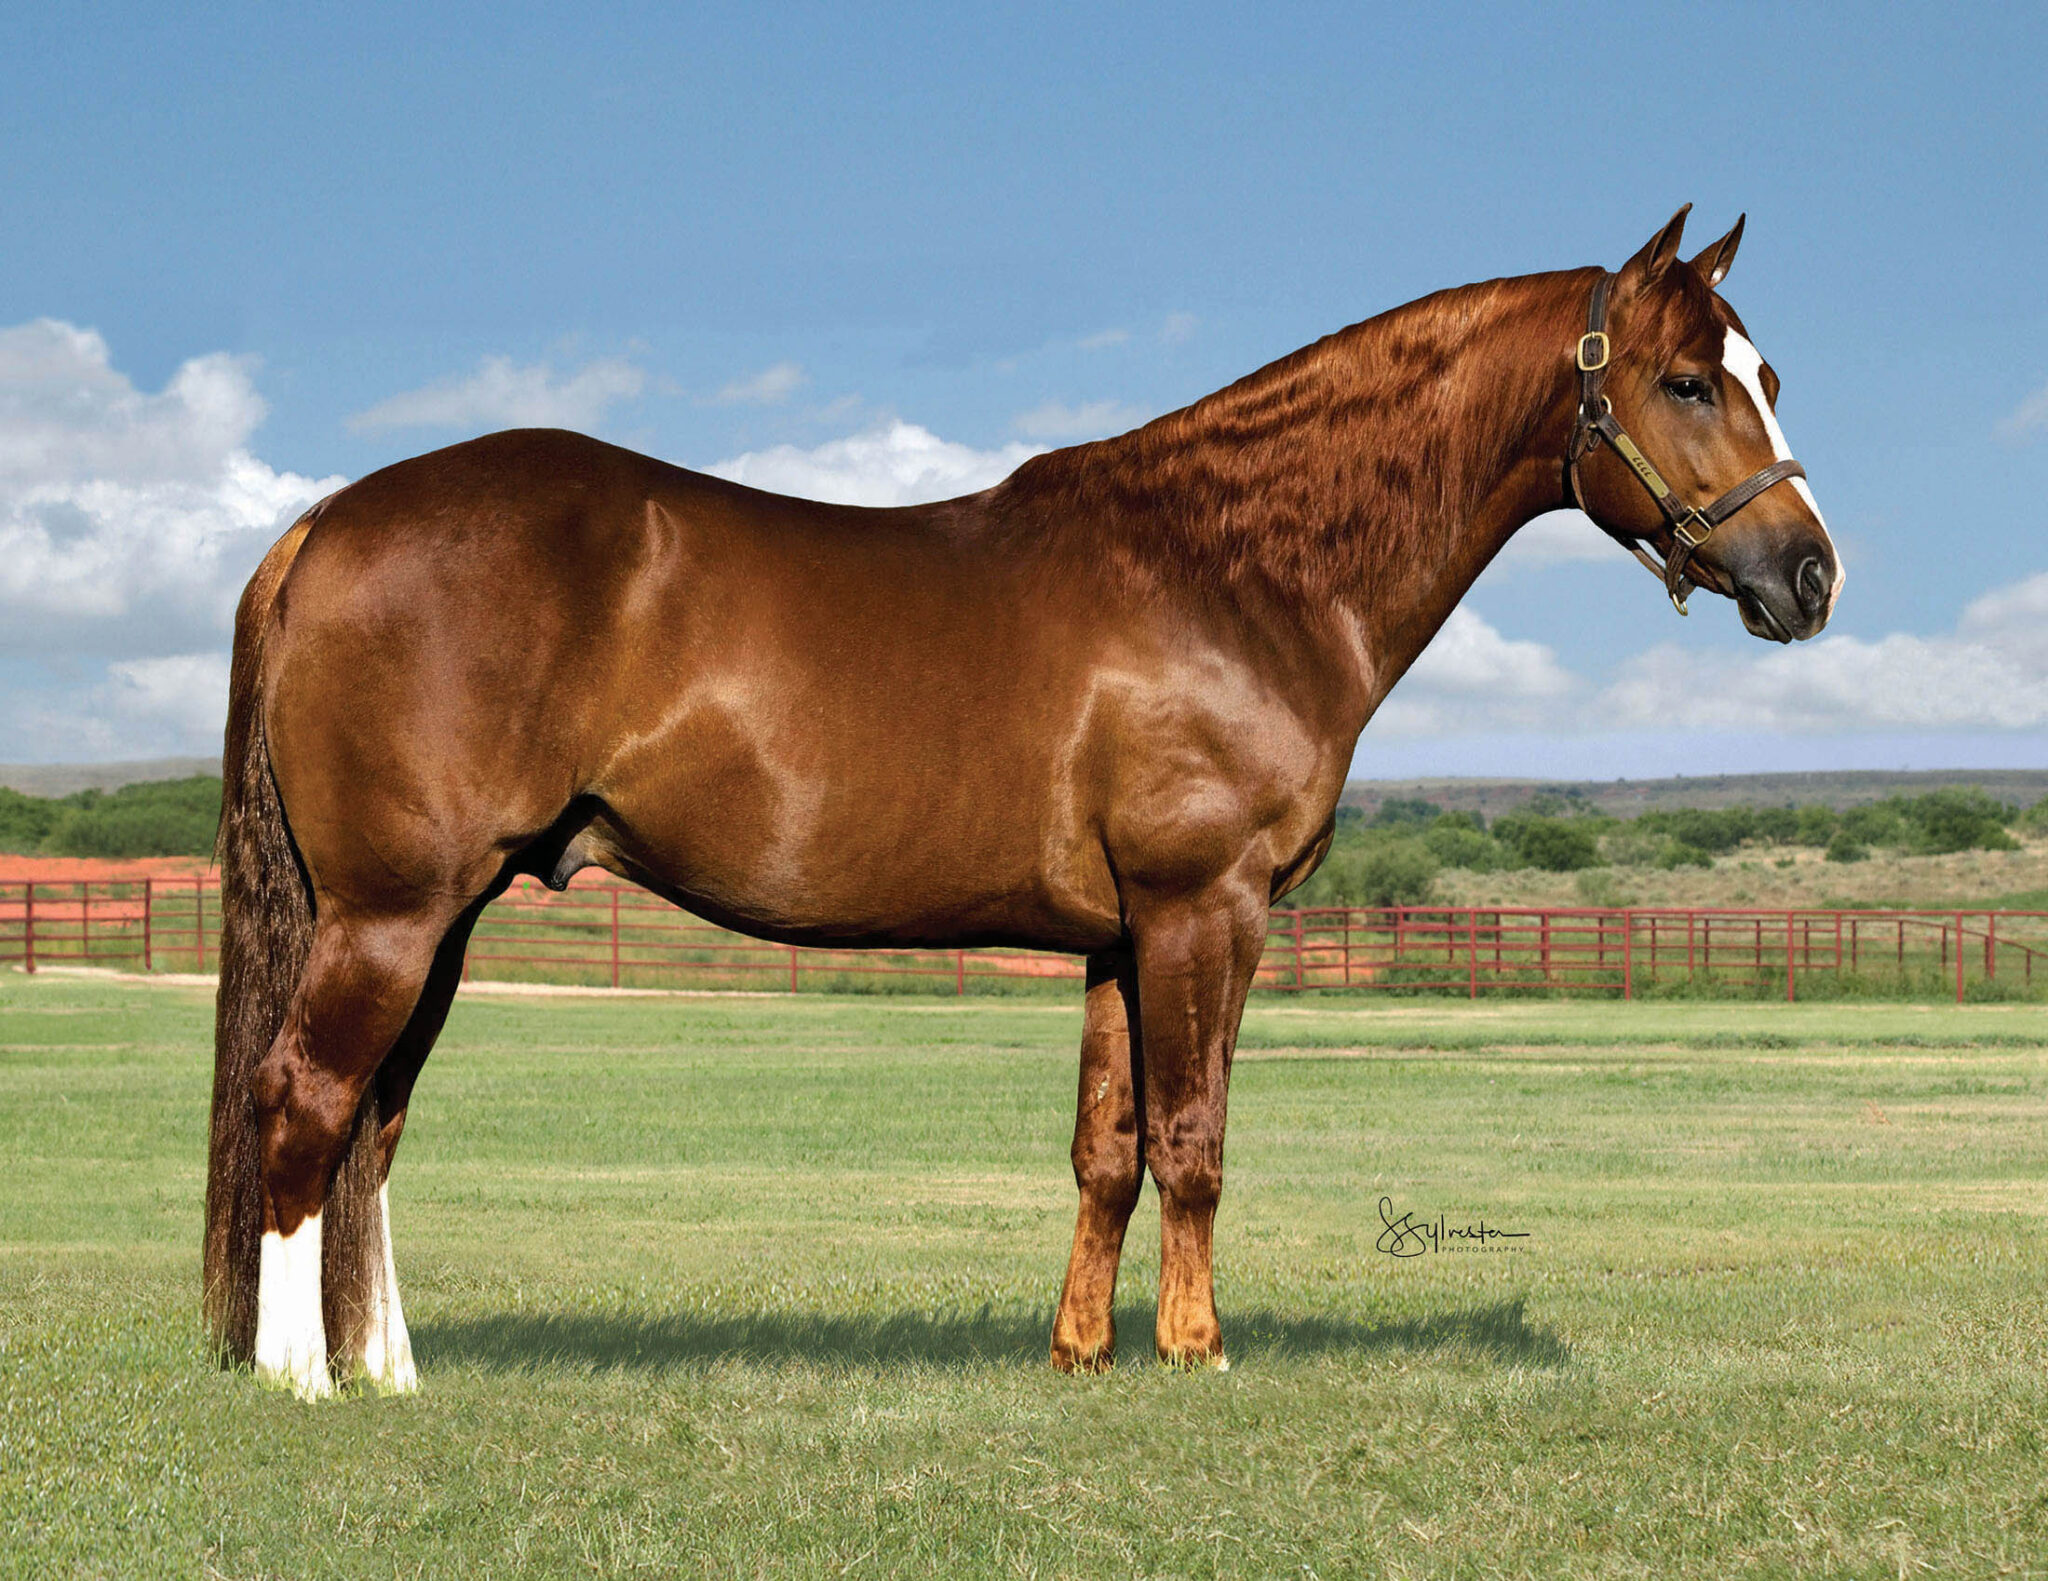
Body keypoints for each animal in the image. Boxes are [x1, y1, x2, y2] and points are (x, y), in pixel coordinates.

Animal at [203, 206, 1841, 1397]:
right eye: (1686, 380)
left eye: (1770, 380)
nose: (1810, 578)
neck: (1230, 573)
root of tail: (324, 526)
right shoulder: (1202, 910)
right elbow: (1193, 1138)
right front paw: (1196, 1354)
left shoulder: (1119, 936)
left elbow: (1107, 1148)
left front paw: (1080, 1356)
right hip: (392, 912)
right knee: (307, 1104)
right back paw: (300, 1381)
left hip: (442, 916)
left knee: (373, 1131)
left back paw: (394, 1372)